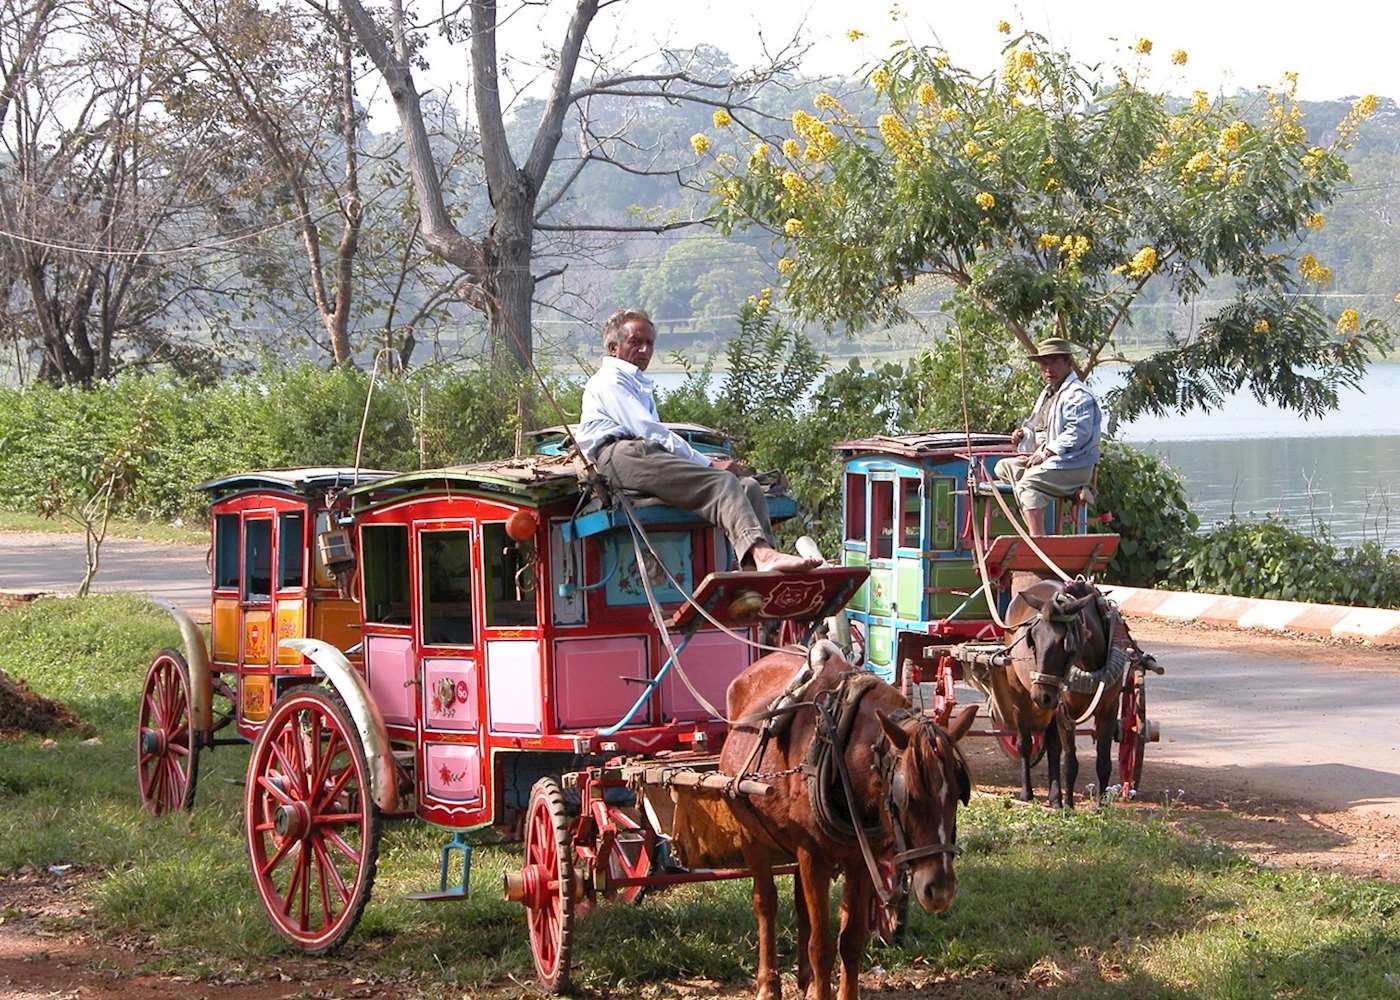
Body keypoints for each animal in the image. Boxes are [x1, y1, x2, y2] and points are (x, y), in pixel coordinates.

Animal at [720, 641, 977, 1000]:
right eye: (908, 798)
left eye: (957, 795)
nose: (938, 891)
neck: (842, 755)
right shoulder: (813, 854)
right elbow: (821, 946)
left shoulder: (862, 857)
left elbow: (851, 939)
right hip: (751, 833)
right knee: (765, 903)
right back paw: (769, 985)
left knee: (800, 905)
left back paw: (805, 981)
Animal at [990, 577, 1123, 809]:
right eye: (1032, 639)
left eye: (1064, 642)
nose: (1040, 695)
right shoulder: (1064, 710)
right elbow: (1070, 761)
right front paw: (1069, 807)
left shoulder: (1109, 707)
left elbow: (1103, 761)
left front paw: (1101, 806)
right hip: (1019, 693)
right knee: (1025, 743)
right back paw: (1028, 793)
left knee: (1052, 747)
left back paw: (1055, 798)